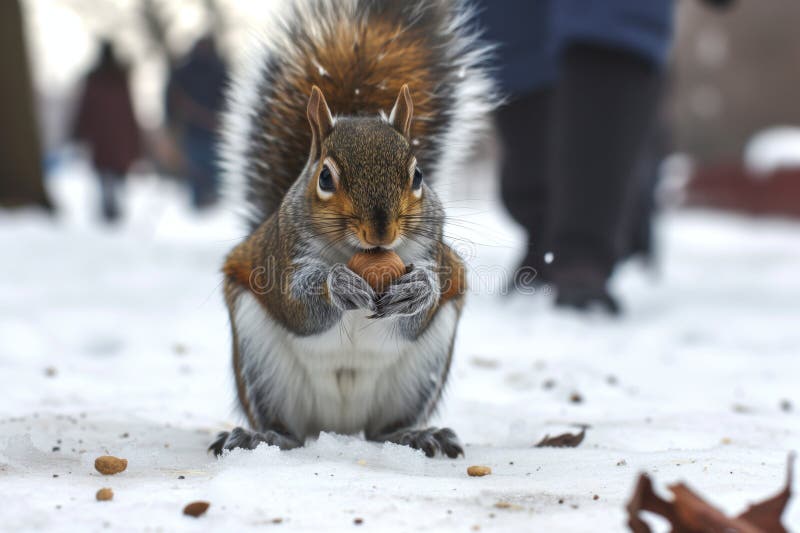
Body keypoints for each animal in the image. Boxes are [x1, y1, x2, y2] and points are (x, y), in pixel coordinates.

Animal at [210, 0, 494, 458]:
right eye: (325, 178)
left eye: (418, 175)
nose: (381, 232)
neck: (356, 253)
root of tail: (339, 427)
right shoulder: (280, 255)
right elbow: (297, 304)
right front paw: (337, 285)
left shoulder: (434, 252)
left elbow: (425, 303)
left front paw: (418, 290)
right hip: (260, 362)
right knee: (287, 427)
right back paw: (263, 436)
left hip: (420, 373)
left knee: (384, 429)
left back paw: (416, 435)